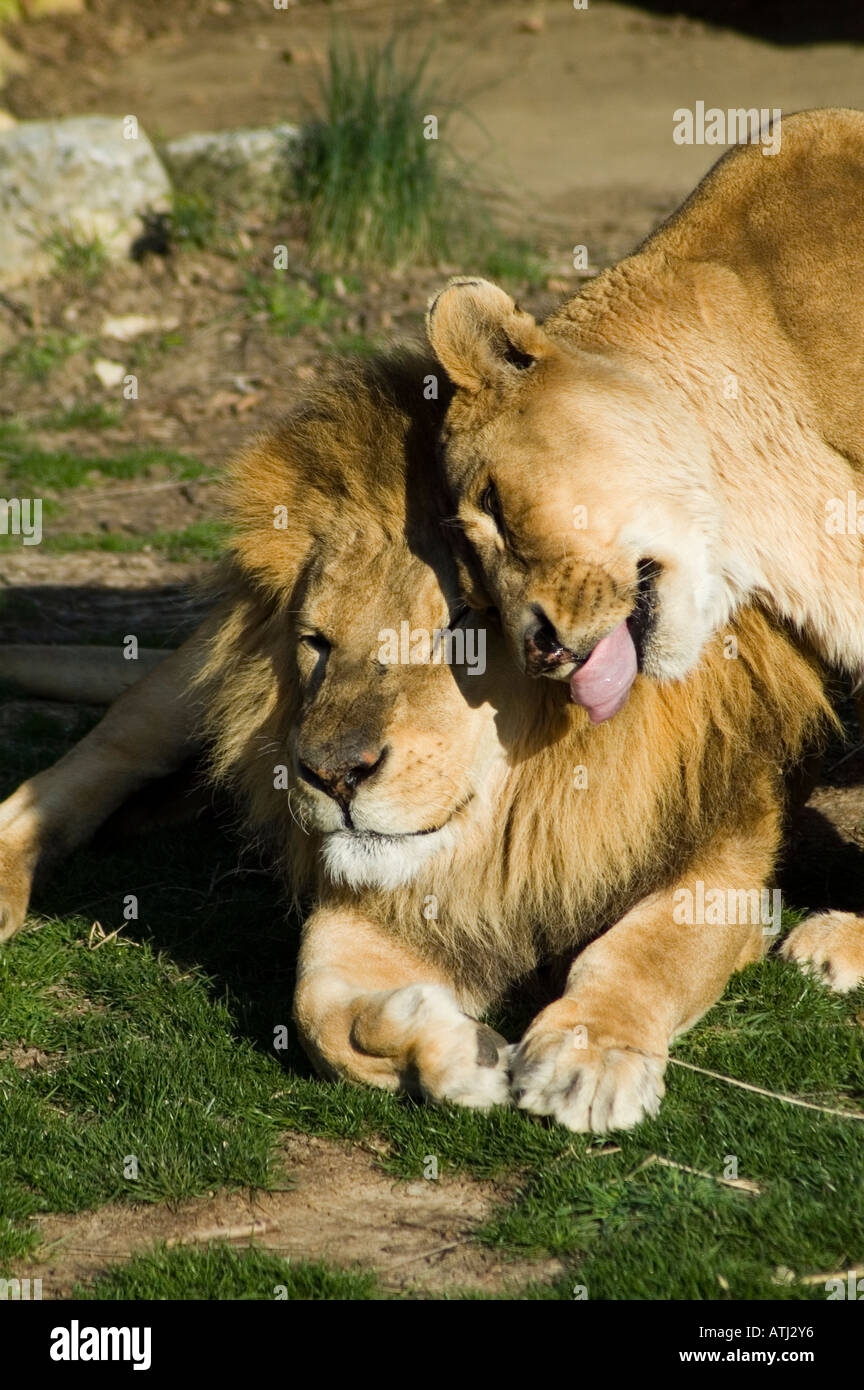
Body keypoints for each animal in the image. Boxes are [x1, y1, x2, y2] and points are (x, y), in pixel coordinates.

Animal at [0, 352, 847, 1131]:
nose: (332, 774)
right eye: (316, 642)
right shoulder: (368, 895)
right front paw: (461, 1056)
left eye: (461, 632)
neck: (528, 809)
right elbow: (317, 1010)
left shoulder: (727, 848)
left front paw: (590, 1056)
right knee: (77, 773)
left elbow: (647, 952)